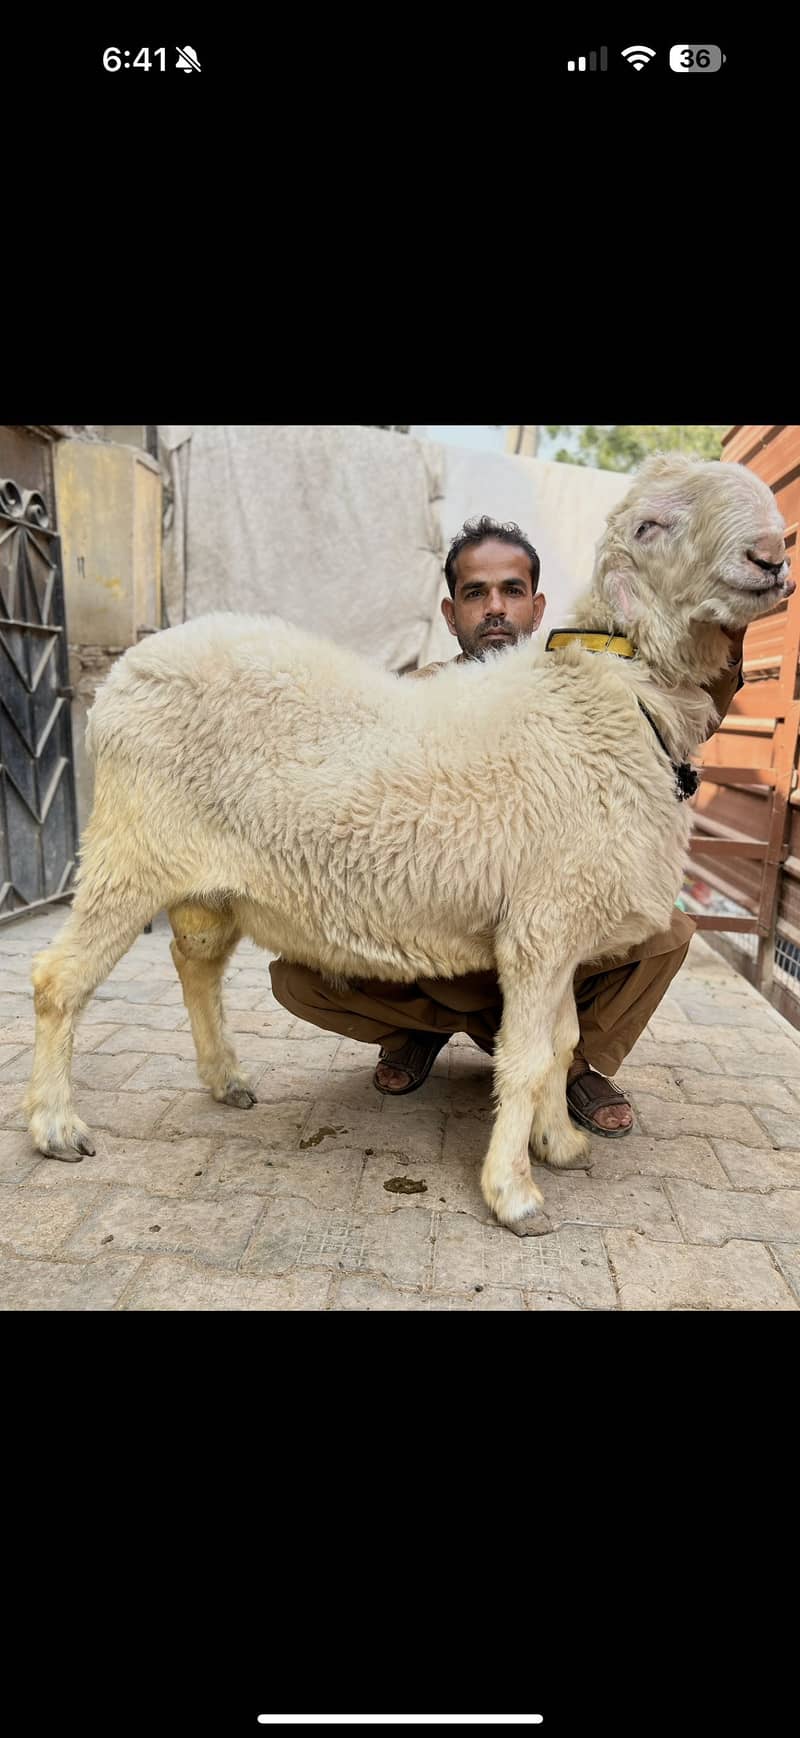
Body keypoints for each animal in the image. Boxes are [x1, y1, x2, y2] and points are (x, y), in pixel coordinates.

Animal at [25, 454, 794, 1234]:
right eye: (650, 526)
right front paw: (514, 1192)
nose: (770, 557)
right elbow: (526, 1059)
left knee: (197, 964)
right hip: (129, 848)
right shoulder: (541, 928)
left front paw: (559, 1142)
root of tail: (125, 672)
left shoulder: (565, 925)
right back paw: (56, 1124)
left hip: (210, 882)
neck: (614, 698)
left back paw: (226, 1079)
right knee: (60, 978)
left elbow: (564, 1046)